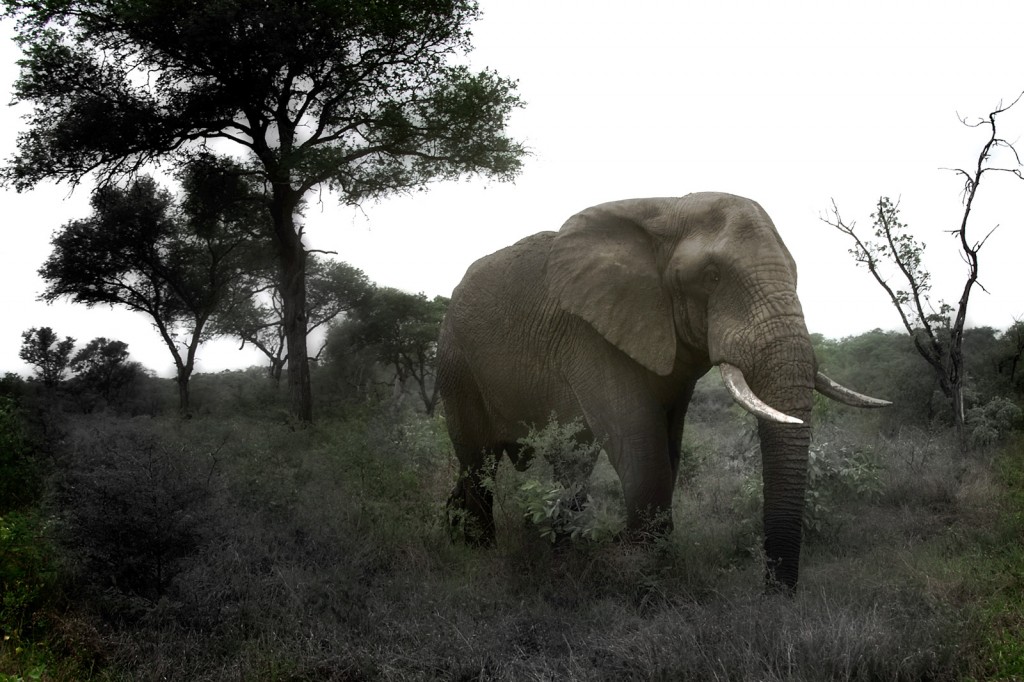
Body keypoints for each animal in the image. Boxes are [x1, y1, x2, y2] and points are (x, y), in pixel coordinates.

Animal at [437, 192, 888, 591]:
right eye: (711, 277)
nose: (776, 597)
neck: (665, 210)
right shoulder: (589, 335)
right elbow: (640, 443)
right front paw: (642, 573)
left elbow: (668, 447)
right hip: (456, 364)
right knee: (478, 461)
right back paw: (479, 552)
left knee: (564, 462)